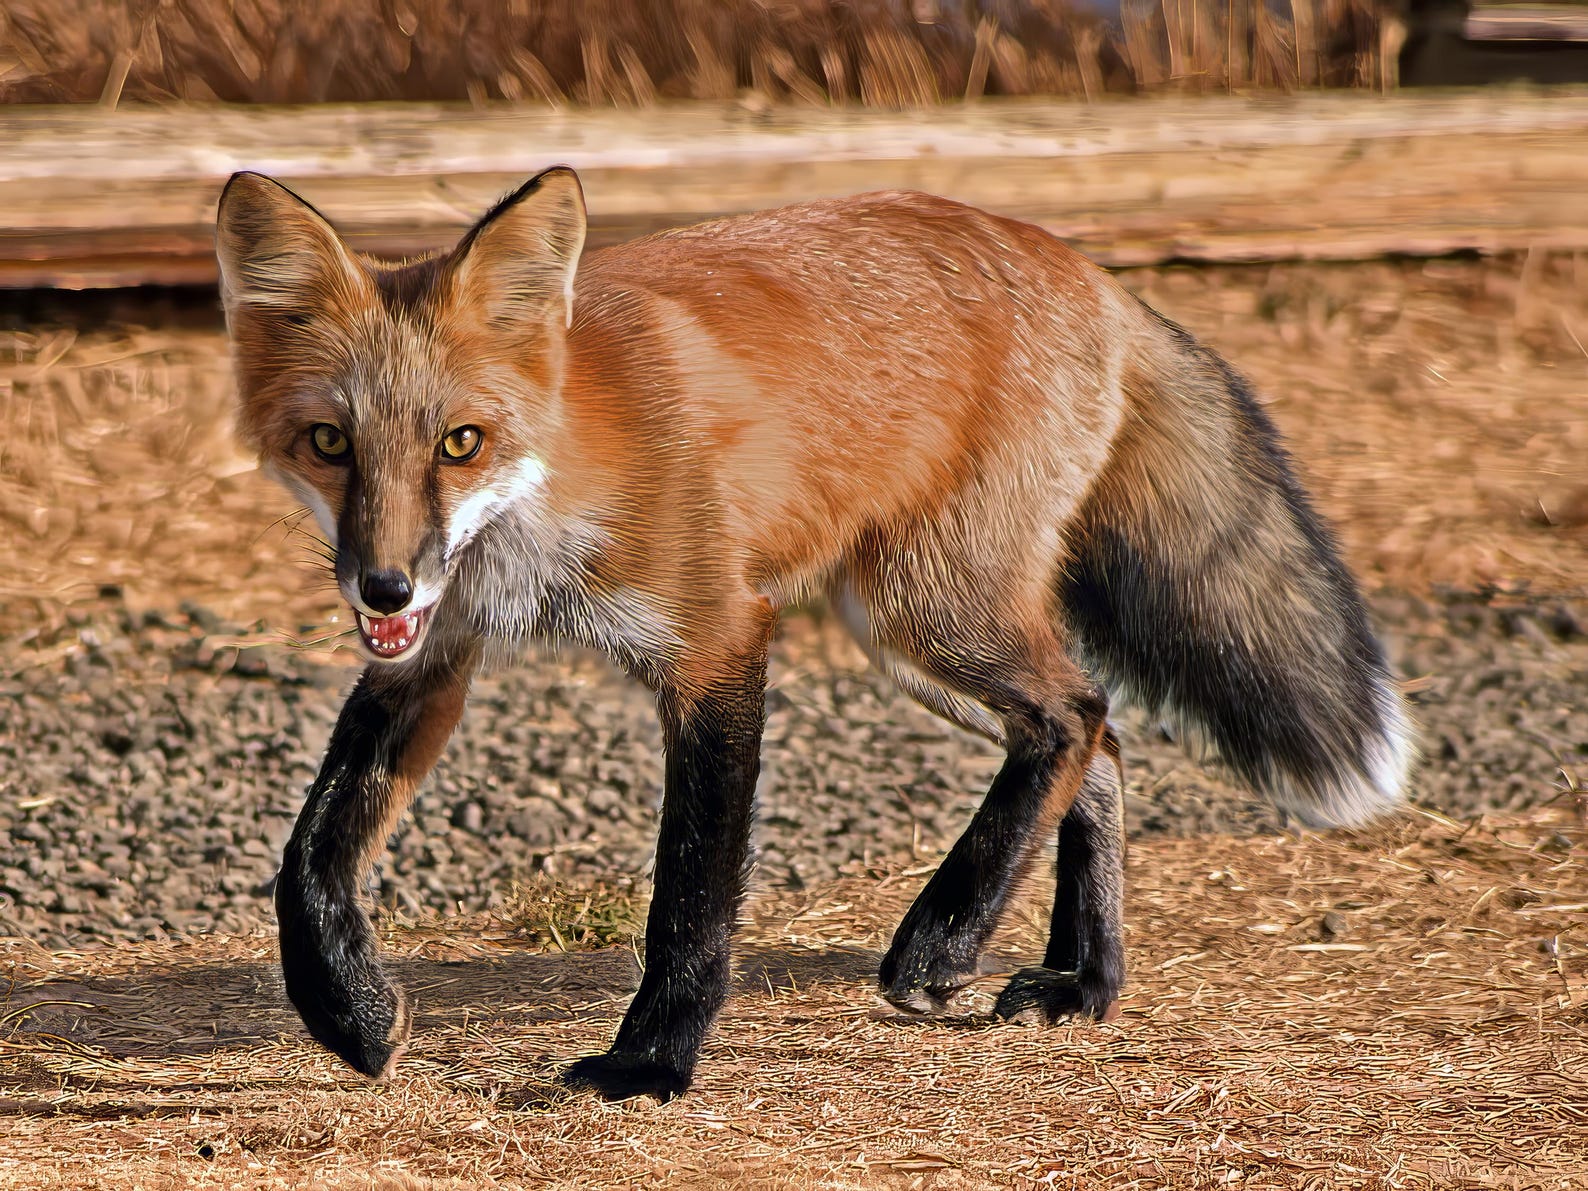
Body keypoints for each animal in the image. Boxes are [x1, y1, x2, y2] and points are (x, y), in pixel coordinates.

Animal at [215, 165, 1414, 1103]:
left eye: (460, 442)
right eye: (330, 443)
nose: (380, 585)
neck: (558, 479)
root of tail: (1089, 270)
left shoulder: (716, 640)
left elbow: (691, 892)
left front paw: (651, 1062)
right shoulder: (434, 652)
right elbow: (308, 853)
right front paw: (350, 1012)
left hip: (926, 614)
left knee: (1076, 716)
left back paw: (943, 941)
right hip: (916, 637)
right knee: (1101, 746)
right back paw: (1086, 983)